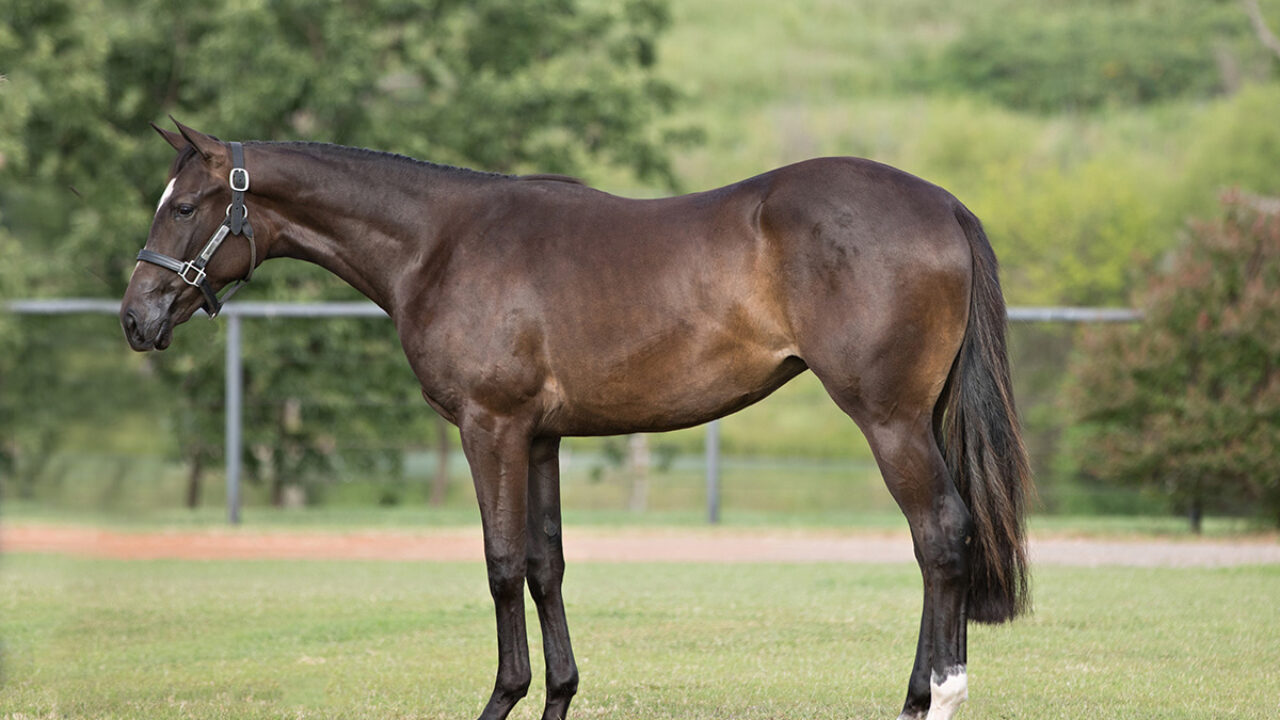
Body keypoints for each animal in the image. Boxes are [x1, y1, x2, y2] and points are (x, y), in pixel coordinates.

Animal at [121, 120, 1030, 720]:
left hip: (891, 420)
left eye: (185, 207)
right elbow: (546, 564)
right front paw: (555, 695)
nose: (136, 317)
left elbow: (499, 565)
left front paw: (502, 699)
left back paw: (932, 696)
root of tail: (944, 205)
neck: (440, 242)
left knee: (941, 534)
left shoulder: (489, 428)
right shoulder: (541, 438)